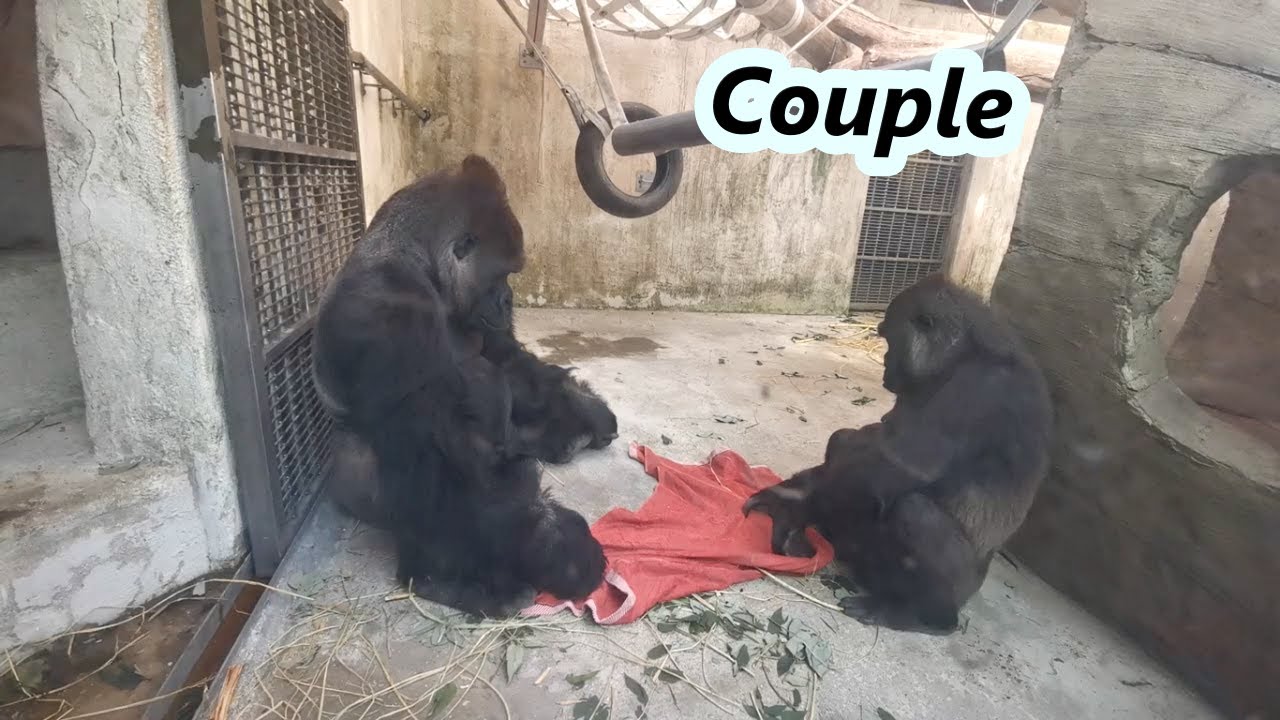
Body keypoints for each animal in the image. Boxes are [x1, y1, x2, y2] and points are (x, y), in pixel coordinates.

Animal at [312, 156, 606, 617]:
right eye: (502, 274)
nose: (508, 301)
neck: (420, 263)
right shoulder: (385, 310)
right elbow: (458, 453)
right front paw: (558, 553)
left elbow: (510, 362)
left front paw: (583, 408)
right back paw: (440, 577)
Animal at [743, 273, 1053, 634]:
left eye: (890, 337)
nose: (886, 365)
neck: (962, 355)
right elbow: (867, 445)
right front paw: (790, 495)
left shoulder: (979, 389)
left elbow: (901, 466)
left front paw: (794, 510)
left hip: (961, 590)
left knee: (915, 513)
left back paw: (921, 615)